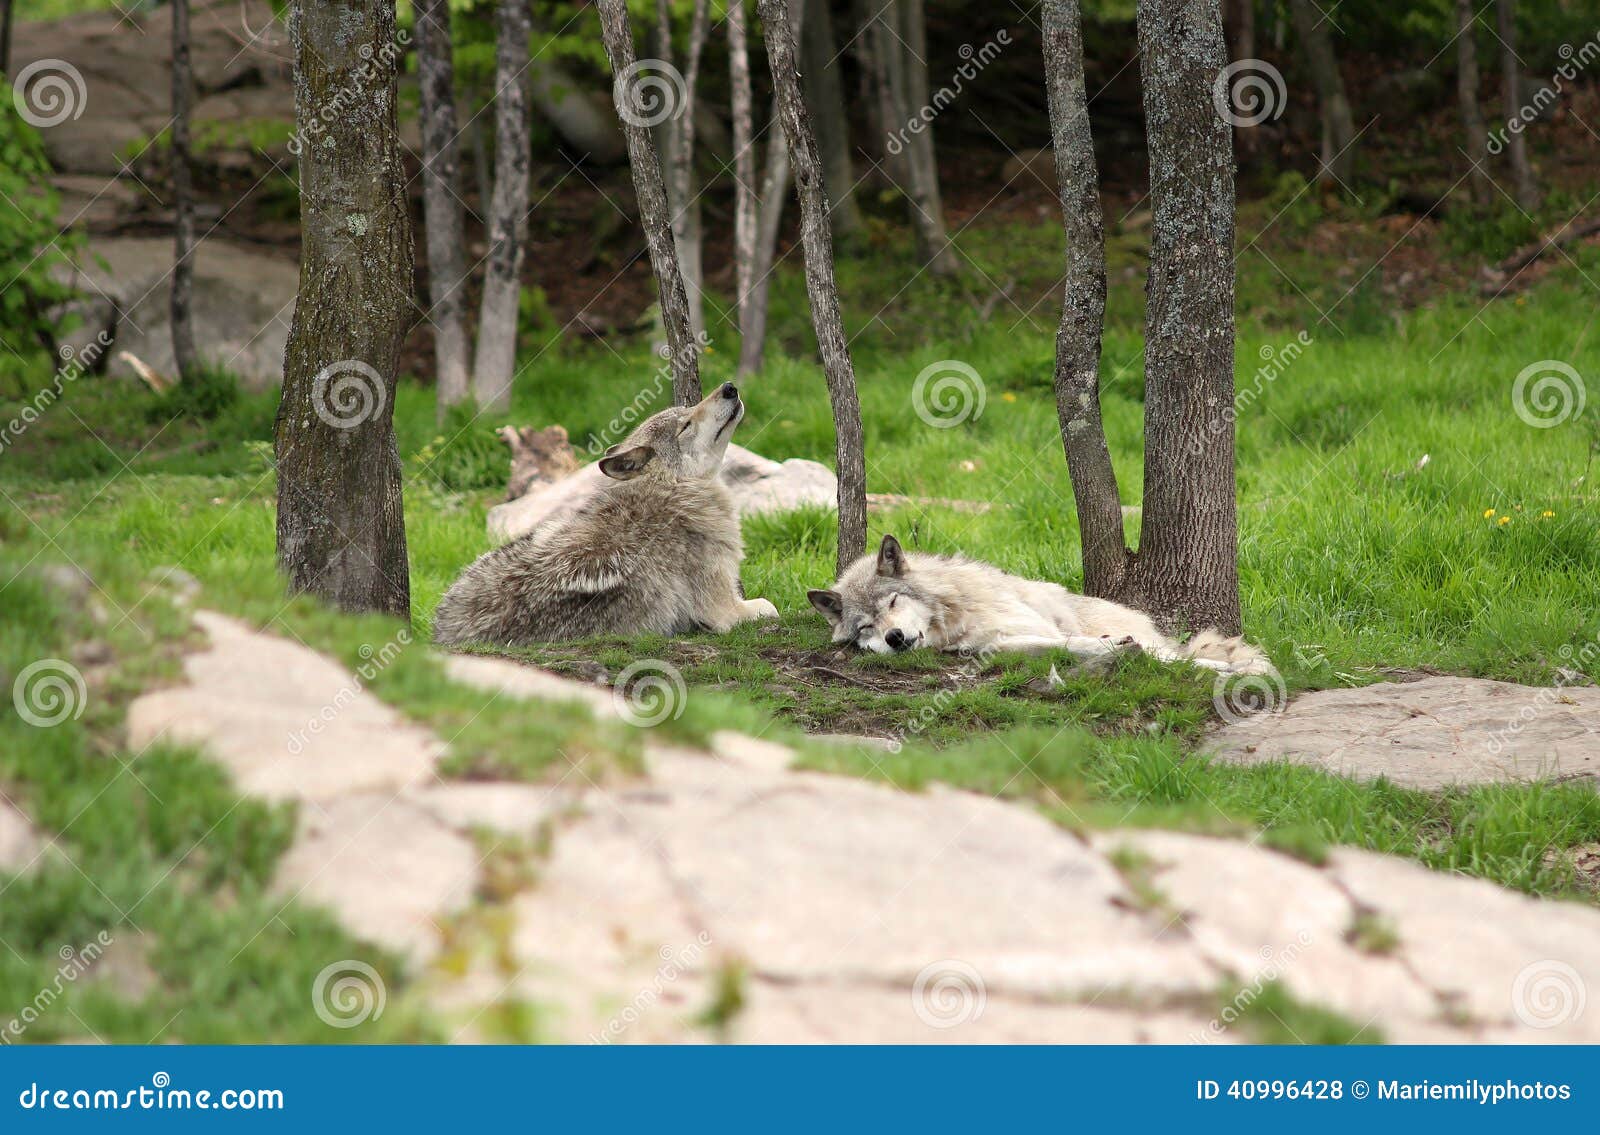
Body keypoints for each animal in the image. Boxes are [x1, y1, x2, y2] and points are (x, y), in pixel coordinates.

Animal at [433, 382, 777, 647]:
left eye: (689, 408)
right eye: (685, 425)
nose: (729, 387)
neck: (674, 492)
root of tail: (439, 637)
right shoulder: (724, 612)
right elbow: (770, 605)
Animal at [807, 535, 1270, 674]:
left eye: (893, 600)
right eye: (865, 627)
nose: (895, 637)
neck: (956, 620)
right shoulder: (998, 645)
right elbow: (1063, 646)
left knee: (1179, 656)